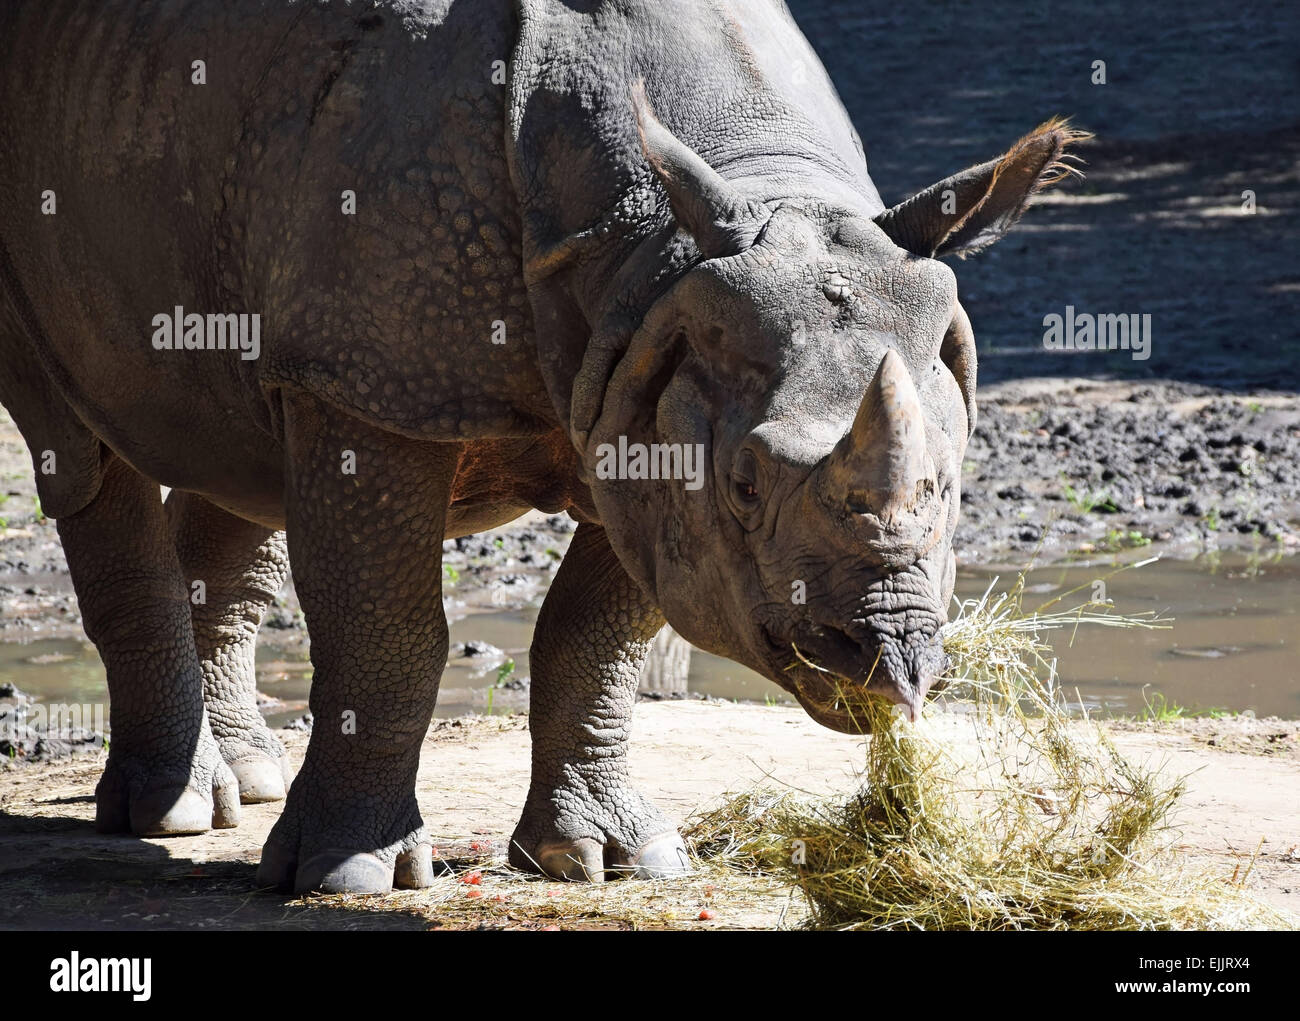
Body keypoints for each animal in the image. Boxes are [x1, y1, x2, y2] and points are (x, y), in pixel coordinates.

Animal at [0, 0, 1083, 893]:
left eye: (950, 486)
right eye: (741, 484)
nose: (886, 664)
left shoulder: (638, 367)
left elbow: (596, 633)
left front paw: (604, 858)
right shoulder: (375, 380)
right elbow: (389, 631)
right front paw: (349, 875)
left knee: (241, 435)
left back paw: (248, 781)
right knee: (81, 448)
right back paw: (175, 812)